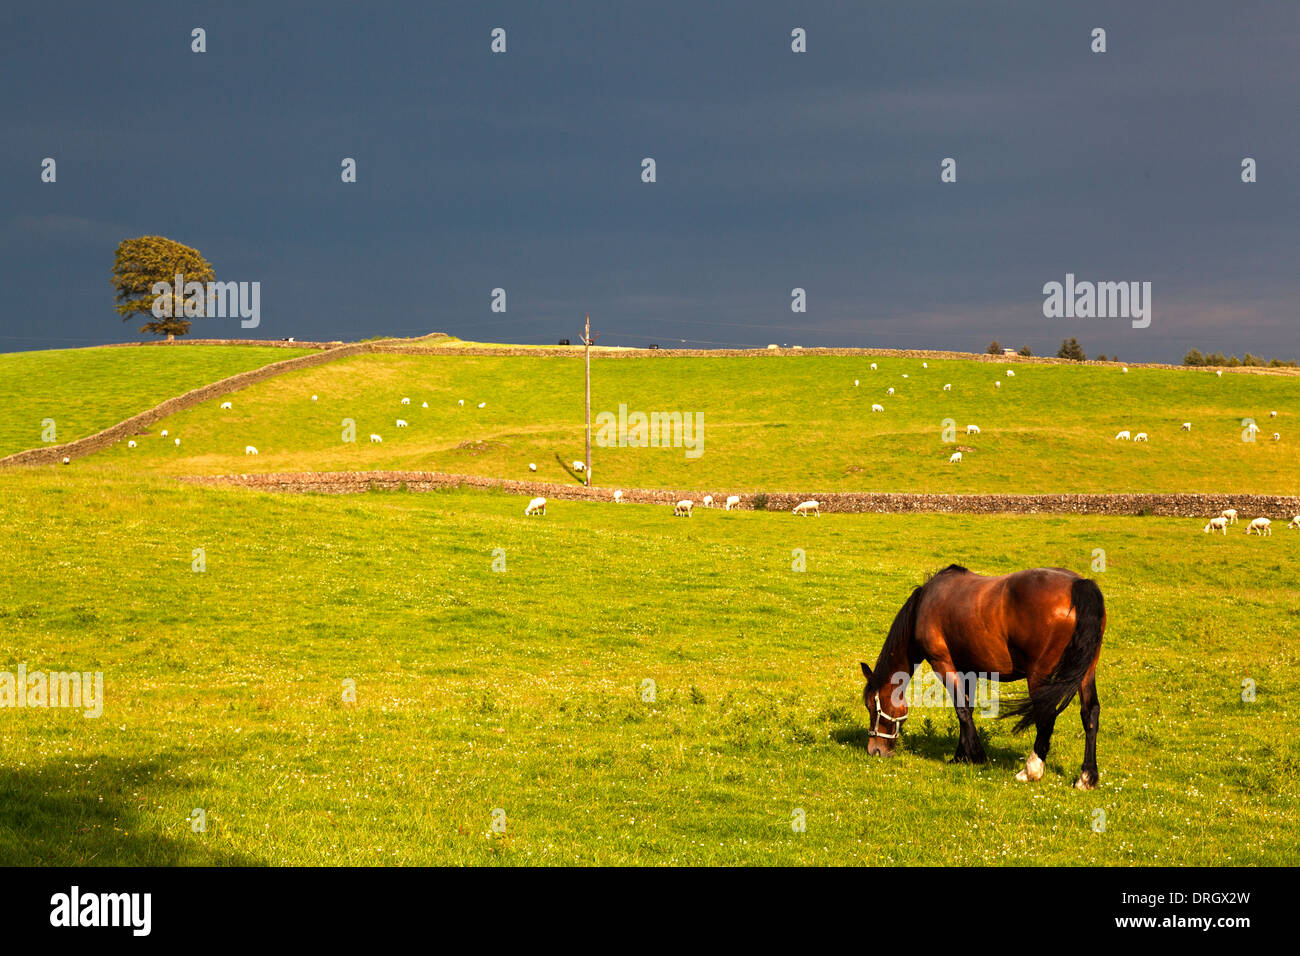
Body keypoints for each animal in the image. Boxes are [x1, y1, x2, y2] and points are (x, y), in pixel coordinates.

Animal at [859, 565, 1105, 789]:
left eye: (871, 706)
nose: (875, 750)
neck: (925, 604)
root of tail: (1077, 584)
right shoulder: (968, 669)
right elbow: (966, 710)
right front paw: (961, 755)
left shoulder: (943, 664)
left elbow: (962, 710)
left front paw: (976, 755)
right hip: (1086, 670)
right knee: (1090, 713)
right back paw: (1087, 777)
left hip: (1039, 675)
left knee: (1046, 715)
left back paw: (1031, 769)